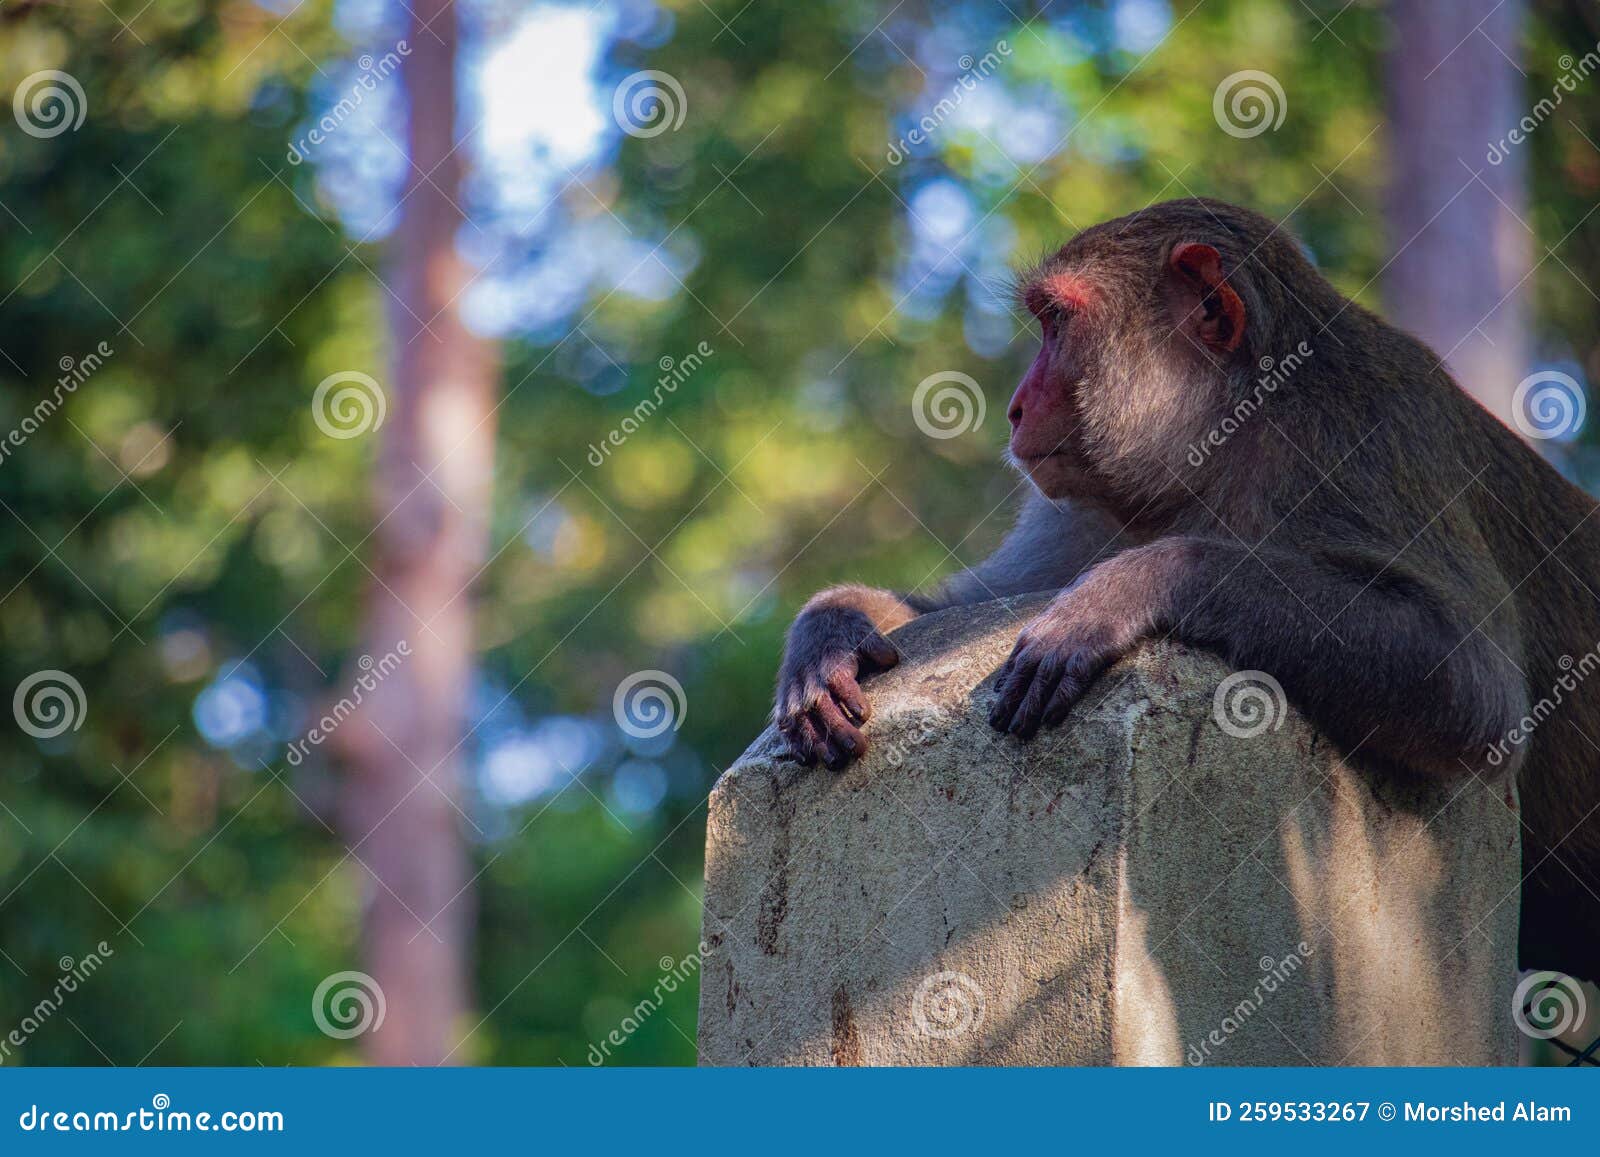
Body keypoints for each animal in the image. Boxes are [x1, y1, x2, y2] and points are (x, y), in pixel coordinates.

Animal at [774, 197, 1600, 980]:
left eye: (1055, 322)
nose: (1015, 406)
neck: (1225, 438)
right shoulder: (1083, 505)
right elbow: (959, 608)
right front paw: (828, 634)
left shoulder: (1374, 436)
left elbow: (1477, 690)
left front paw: (1127, 590)